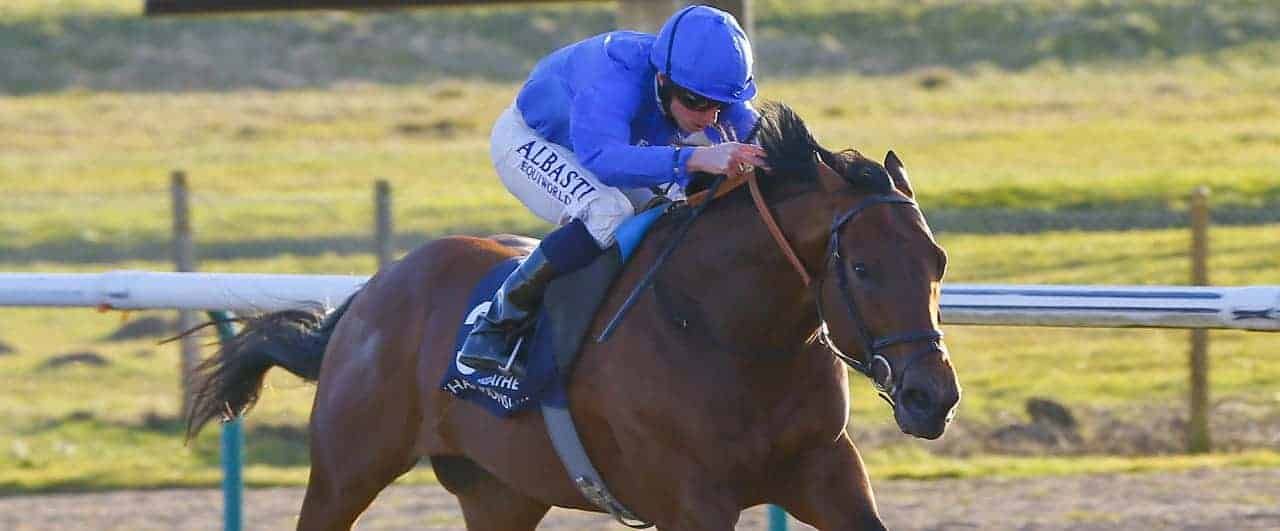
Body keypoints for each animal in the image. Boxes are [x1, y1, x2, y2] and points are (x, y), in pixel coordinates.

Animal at [185, 102, 961, 531]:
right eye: (862, 269)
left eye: (938, 260)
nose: (933, 396)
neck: (730, 331)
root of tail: (371, 293)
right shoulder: (691, 502)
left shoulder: (824, 471)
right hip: (346, 470)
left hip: (499, 491)